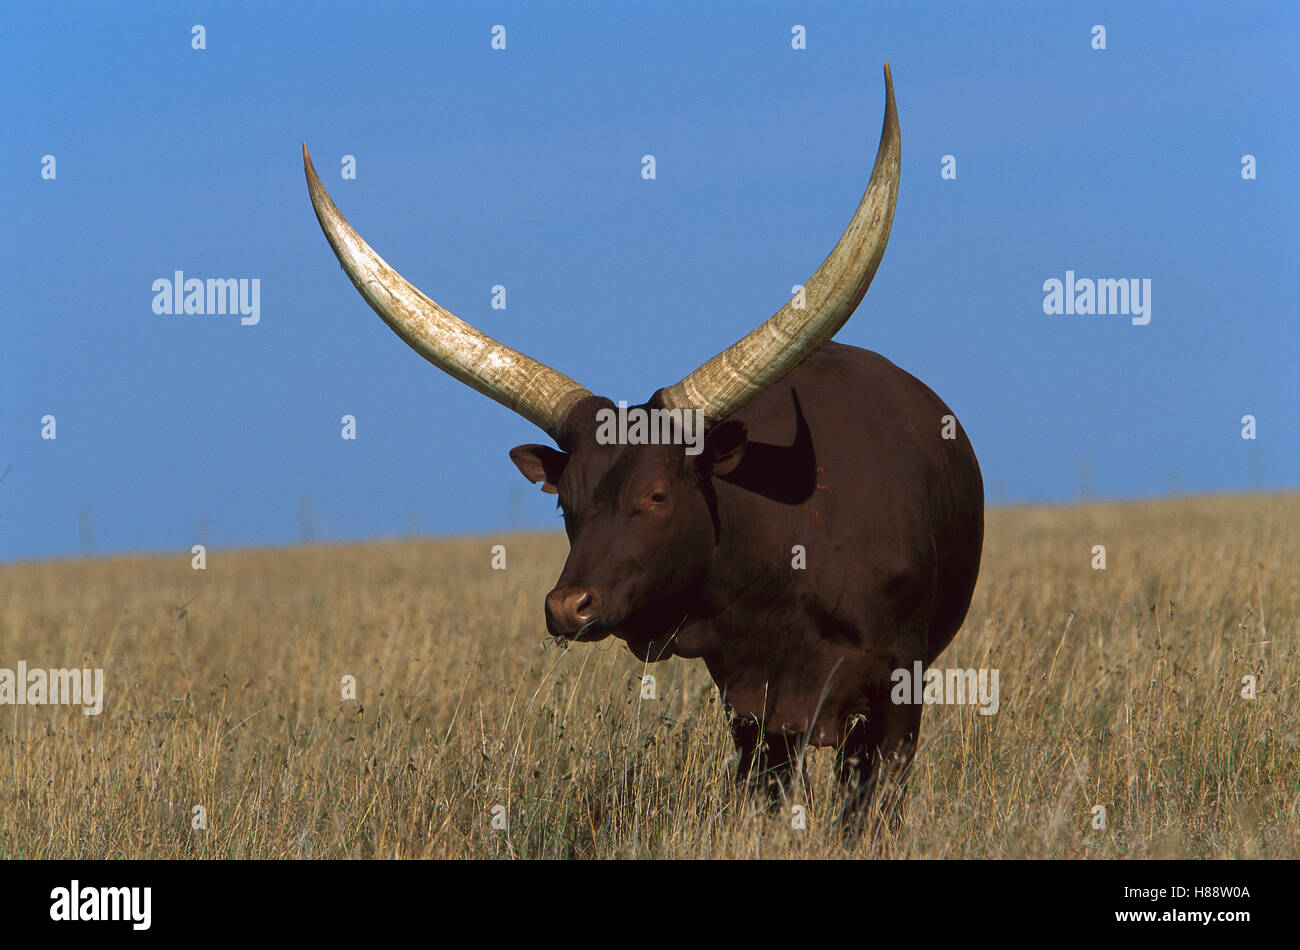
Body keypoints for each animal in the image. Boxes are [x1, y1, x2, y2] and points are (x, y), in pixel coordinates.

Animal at [304, 65, 983, 823]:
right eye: (564, 503)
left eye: (658, 495)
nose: (567, 607)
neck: (793, 547)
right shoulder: (752, 705)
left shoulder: (897, 695)